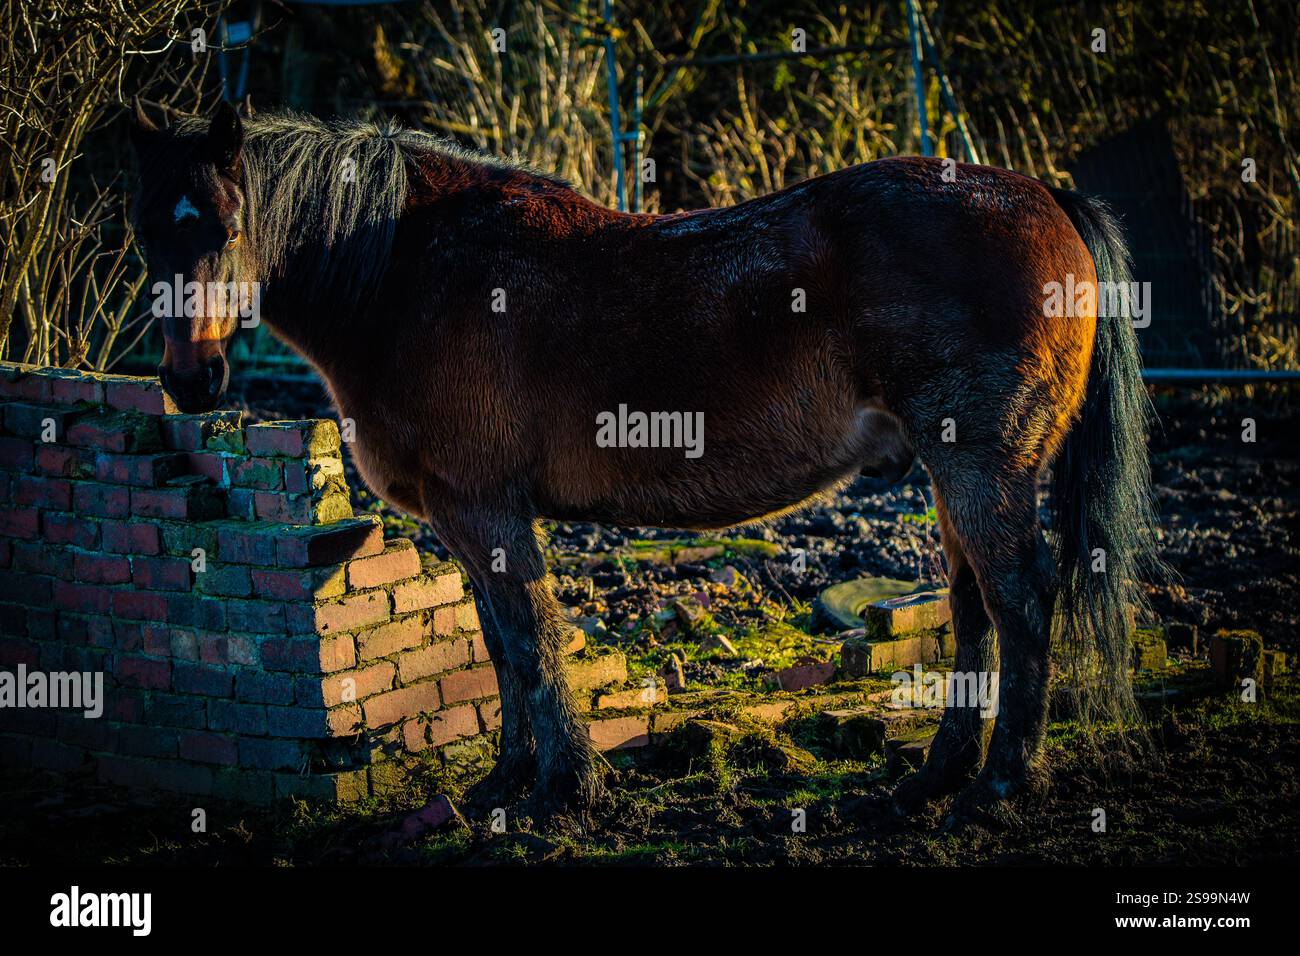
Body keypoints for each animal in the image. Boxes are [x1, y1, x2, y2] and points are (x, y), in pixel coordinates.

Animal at [129, 100, 1159, 825]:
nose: (192, 380)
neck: (405, 271)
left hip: (982, 466)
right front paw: (505, 782)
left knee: (1020, 600)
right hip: (957, 476)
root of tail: (1043, 196)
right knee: (972, 604)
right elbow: (499, 647)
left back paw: (995, 788)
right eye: (145, 234)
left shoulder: (485, 510)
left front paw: (566, 789)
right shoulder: (465, 520)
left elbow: (531, 640)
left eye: (227, 228)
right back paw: (931, 783)